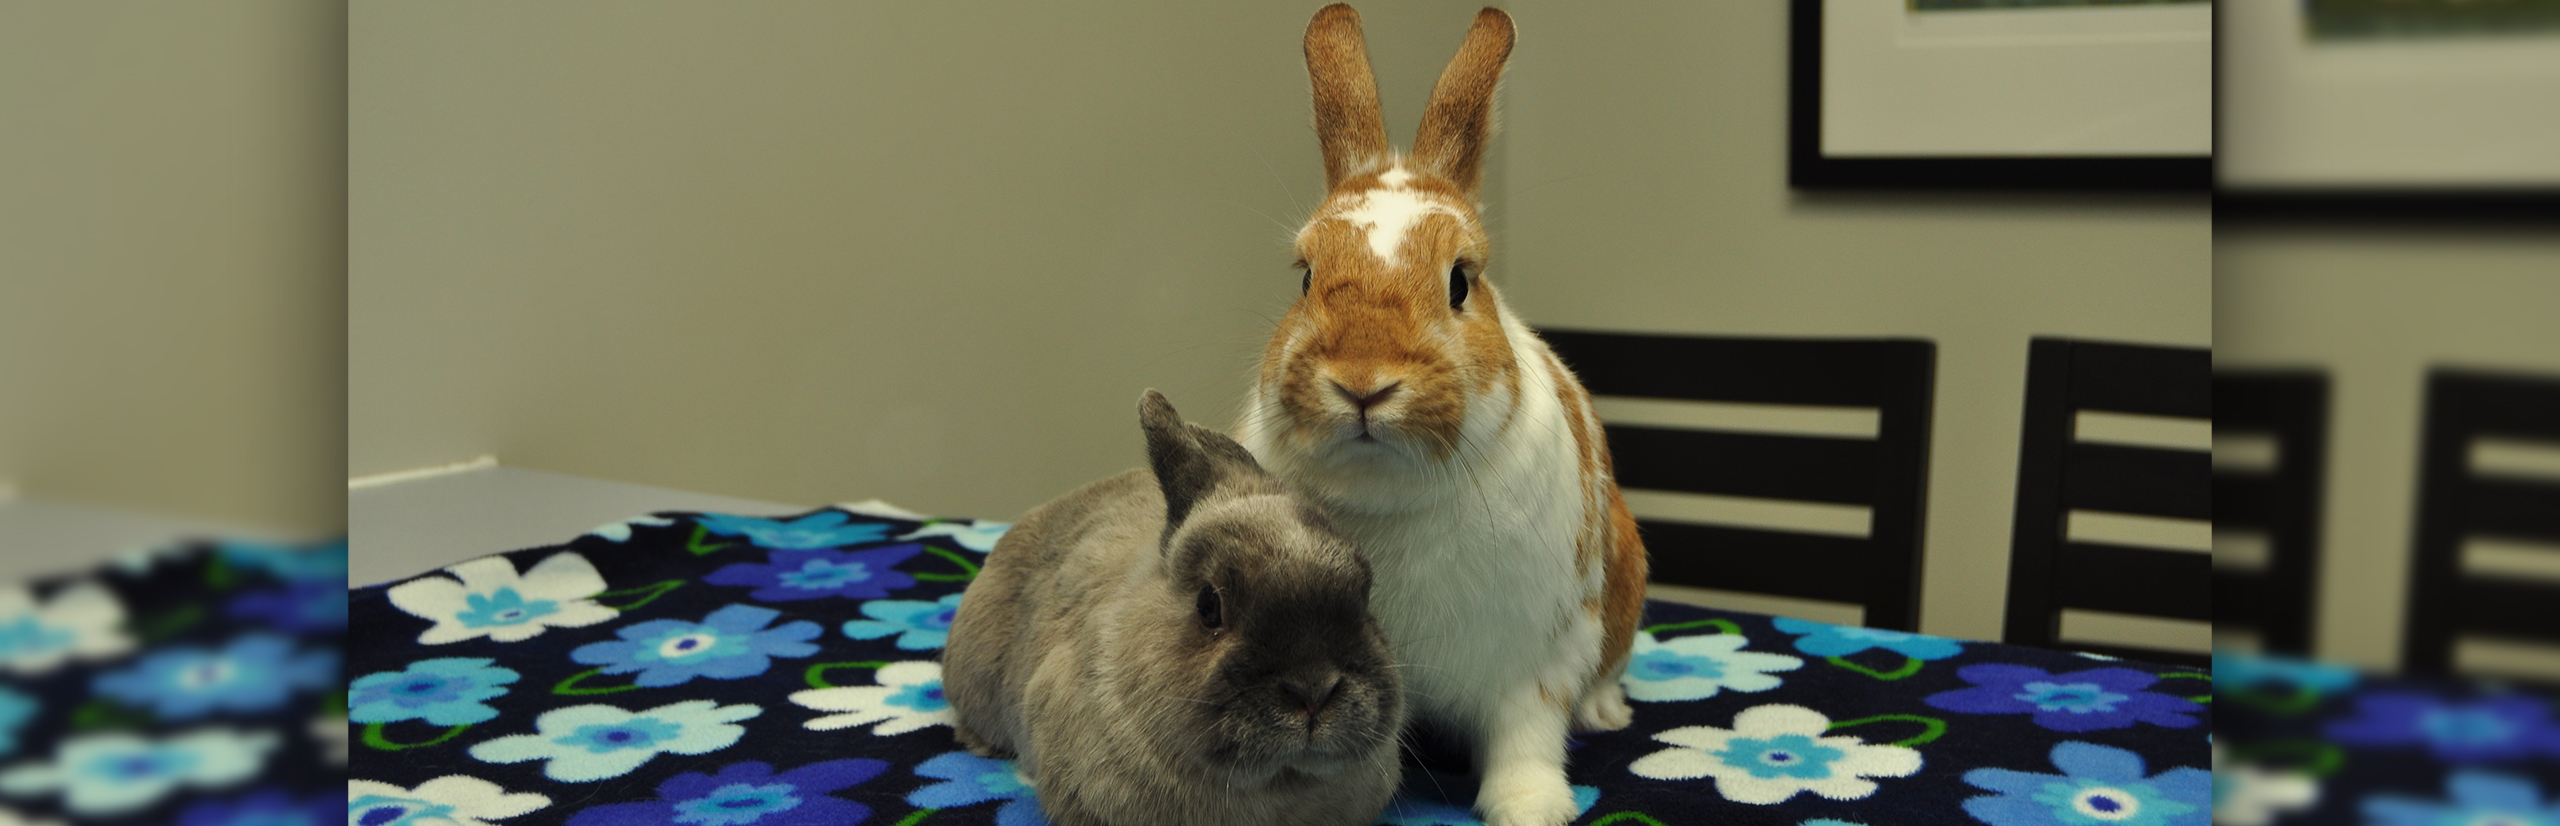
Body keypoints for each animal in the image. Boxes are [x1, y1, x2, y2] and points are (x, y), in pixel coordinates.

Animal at [1231, 6, 1650, 826]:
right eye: (1306, 277)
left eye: (1461, 280)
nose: (1362, 382)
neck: (1389, 500)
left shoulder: (1535, 657)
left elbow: (1527, 735)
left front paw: (1530, 808)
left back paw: (1604, 712)